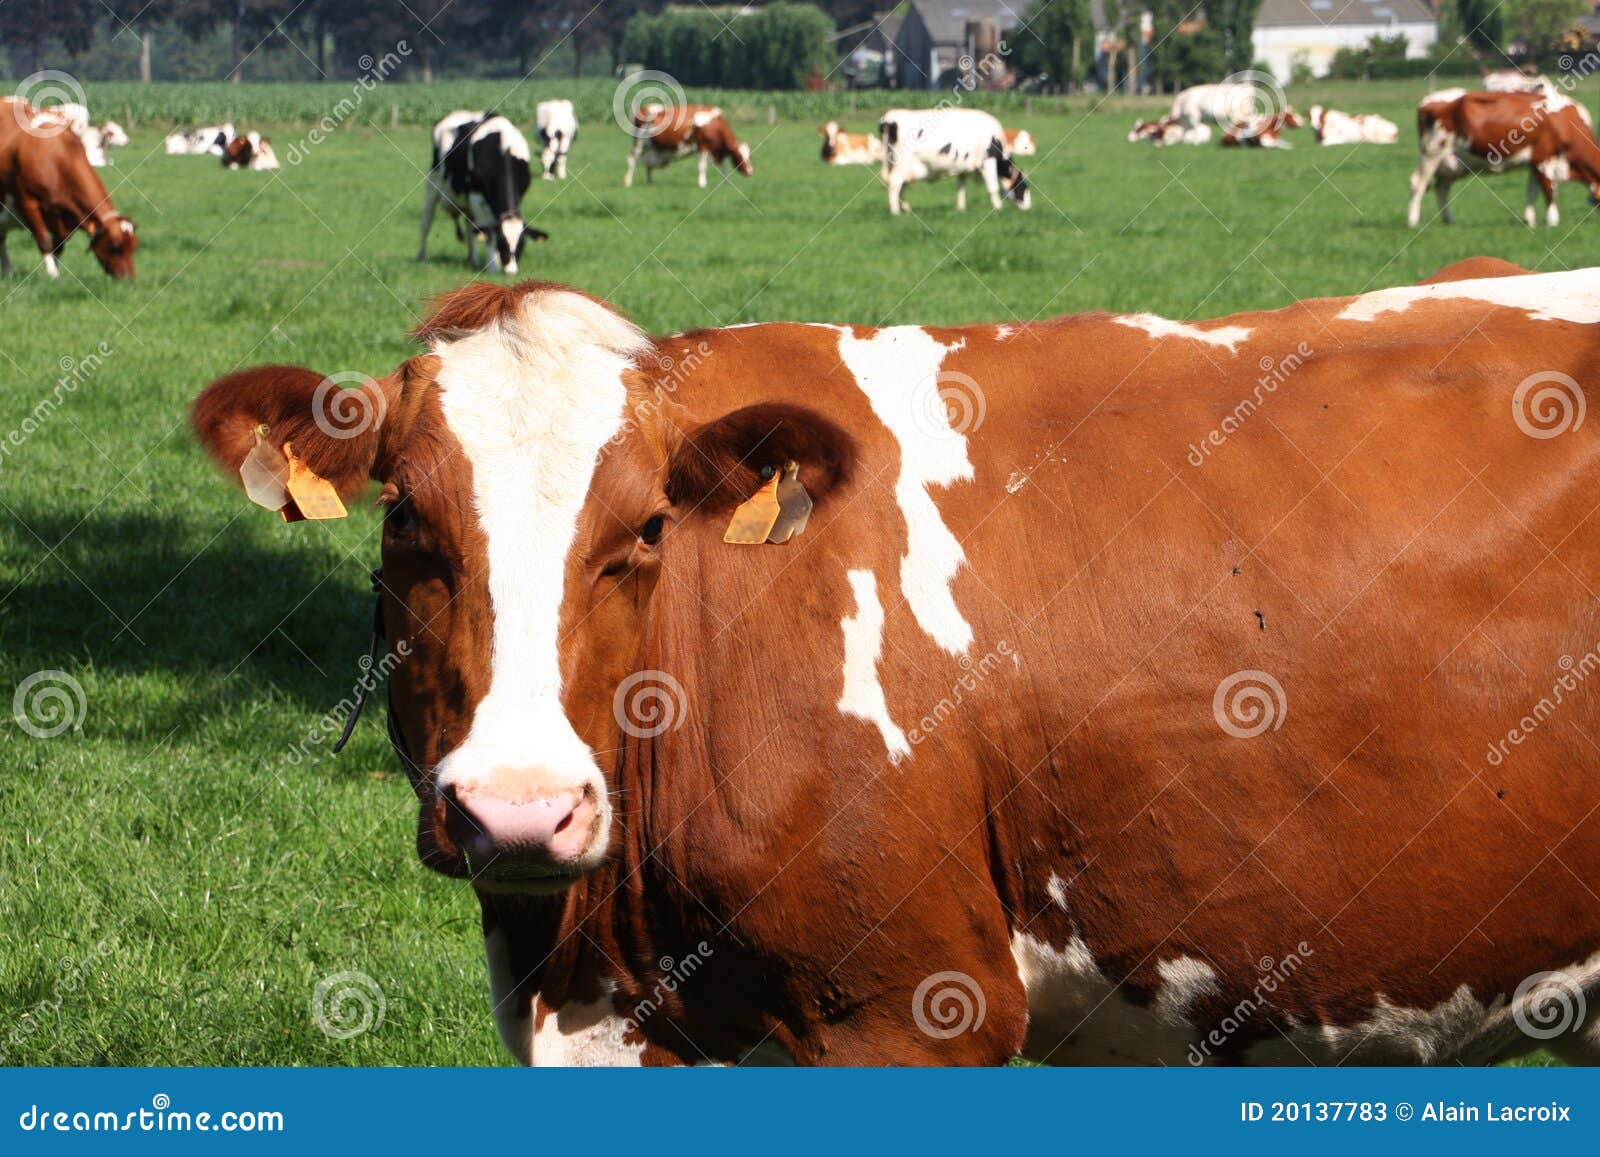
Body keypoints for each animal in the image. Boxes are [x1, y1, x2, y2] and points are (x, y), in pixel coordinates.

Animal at [0, 110, 137, 278]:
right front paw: (52, 274)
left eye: (134, 246)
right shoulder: (29, 204)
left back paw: (9, 271)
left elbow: (59, 246)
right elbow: (44, 241)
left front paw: (56, 271)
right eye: (115, 247)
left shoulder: (69, 217)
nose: (128, 279)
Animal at [418, 111, 545, 275]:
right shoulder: (477, 197)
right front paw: (493, 267)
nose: (511, 271)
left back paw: (473, 259)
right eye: (502, 243)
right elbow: (489, 233)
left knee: (469, 229)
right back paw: (421, 256)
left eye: (521, 245)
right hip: (433, 183)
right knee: (426, 222)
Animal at [623, 103, 752, 189]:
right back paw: (628, 182)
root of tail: (644, 107)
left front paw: (727, 183)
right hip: (639, 144)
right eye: (739, 157)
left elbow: (725, 166)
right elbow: (702, 166)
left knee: (648, 165)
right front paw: (702, 183)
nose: (750, 172)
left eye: (749, 157)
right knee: (631, 159)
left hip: (651, 148)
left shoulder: (720, 150)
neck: (716, 124)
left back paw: (650, 182)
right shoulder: (702, 147)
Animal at [879, 108, 1029, 215]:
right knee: (895, 183)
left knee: (900, 186)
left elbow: (961, 187)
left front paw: (961, 208)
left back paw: (905, 209)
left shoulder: (963, 168)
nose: (1028, 207)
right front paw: (998, 208)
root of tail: (890, 117)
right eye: (1023, 186)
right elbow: (993, 187)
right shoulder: (988, 160)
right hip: (901, 163)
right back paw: (895, 211)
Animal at [1407, 89, 1600, 228]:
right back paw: (1412, 222)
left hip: (1452, 163)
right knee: (1418, 184)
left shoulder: (1534, 163)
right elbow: (1549, 191)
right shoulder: (1543, 159)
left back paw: (1449, 221)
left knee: (1441, 188)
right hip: (1432, 153)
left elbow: (1532, 192)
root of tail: (1428, 100)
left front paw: (1529, 221)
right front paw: (1553, 222)